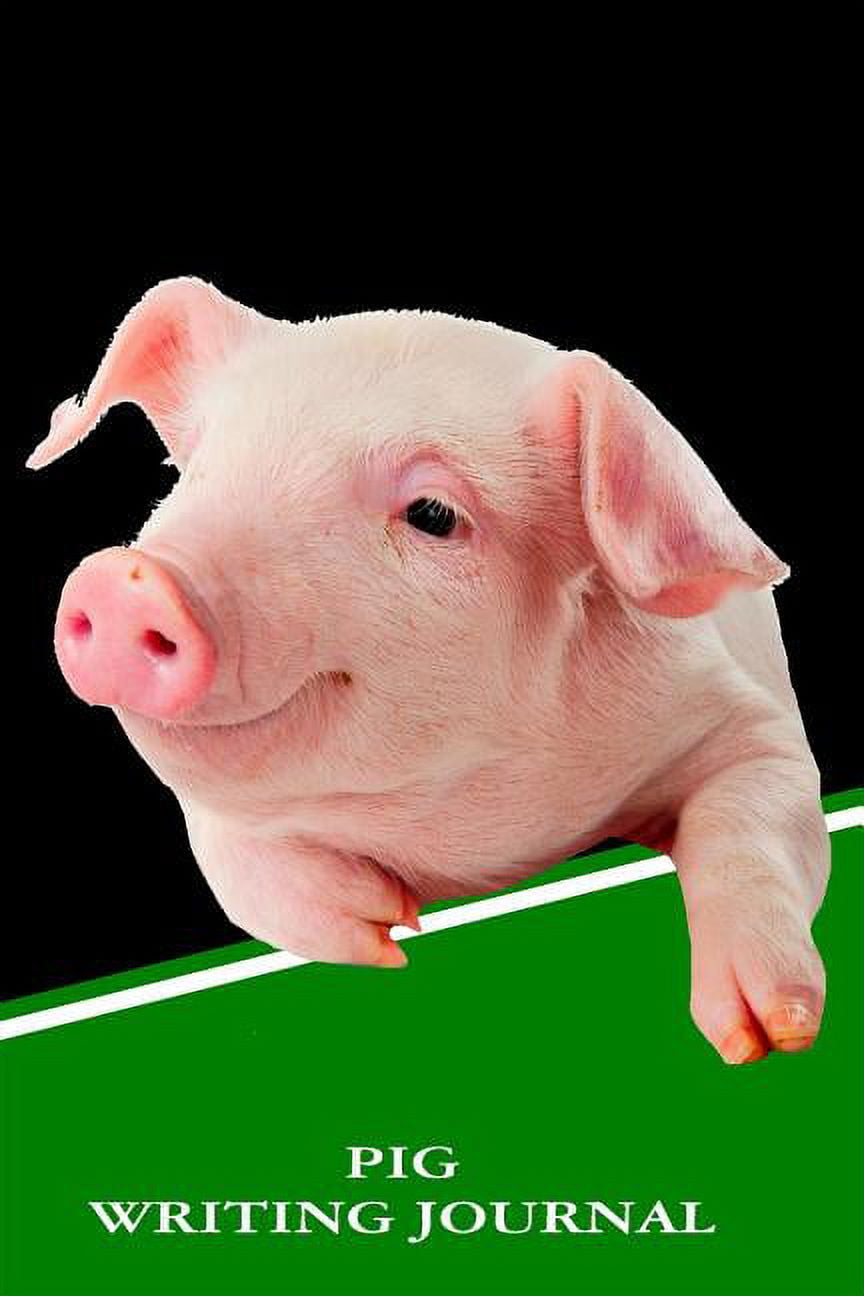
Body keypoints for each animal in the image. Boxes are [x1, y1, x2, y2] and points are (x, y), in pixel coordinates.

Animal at [28, 276, 830, 1066]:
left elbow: (755, 819)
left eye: (434, 514)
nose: (127, 579)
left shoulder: (745, 719)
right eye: (191, 470)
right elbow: (238, 859)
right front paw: (388, 923)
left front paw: (767, 1035)